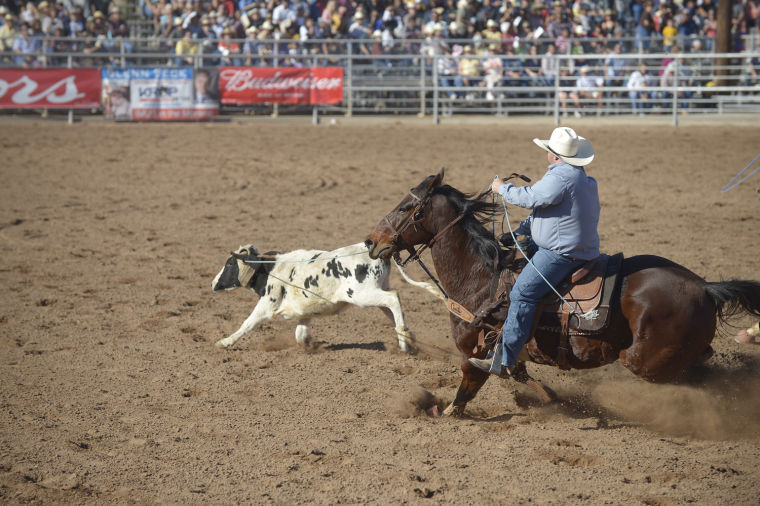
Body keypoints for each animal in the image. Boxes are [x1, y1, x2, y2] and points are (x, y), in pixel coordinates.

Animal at [211, 242, 438, 352]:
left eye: (230, 263)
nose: (213, 284)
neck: (270, 269)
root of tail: (378, 251)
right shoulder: (304, 313)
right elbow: (300, 335)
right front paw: (311, 347)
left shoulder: (267, 305)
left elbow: (247, 324)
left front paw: (225, 342)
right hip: (377, 290)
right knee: (391, 310)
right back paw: (407, 340)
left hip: (363, 295)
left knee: (393, 298)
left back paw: (404, 343)